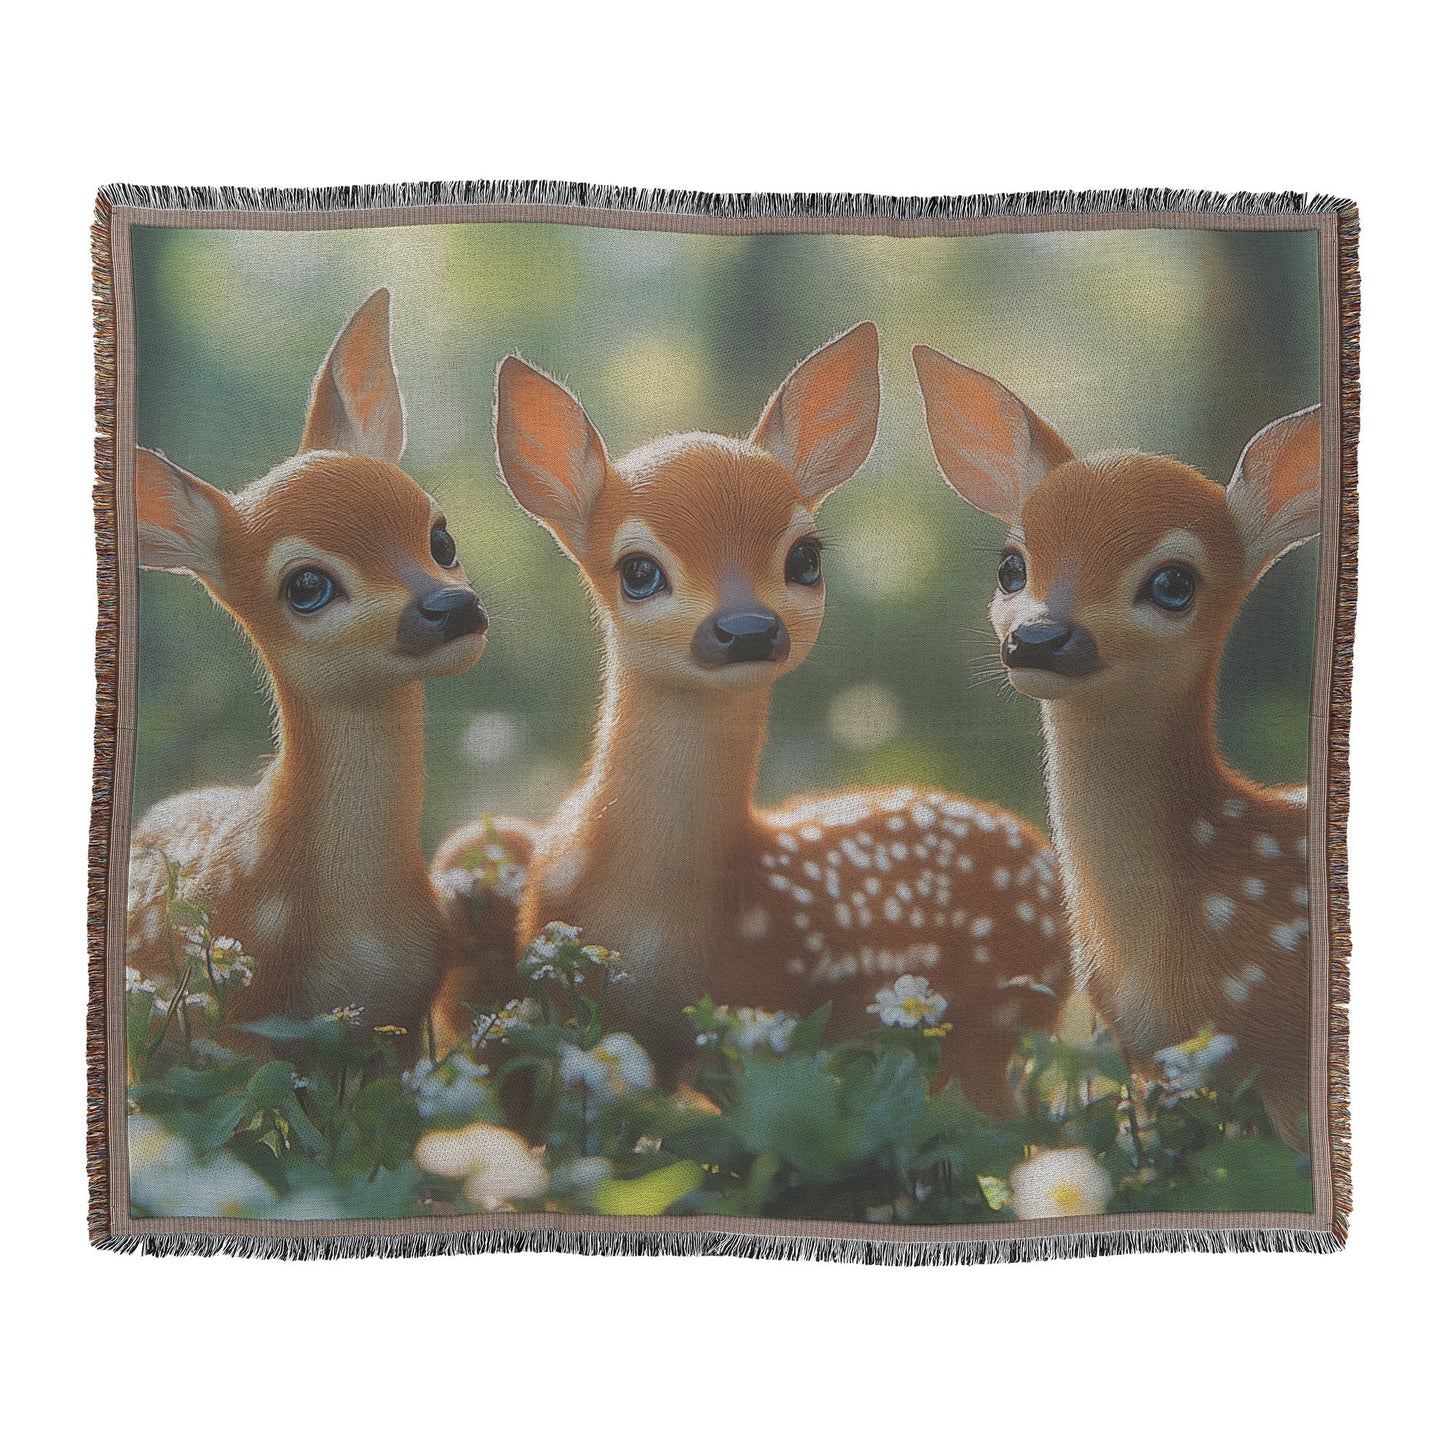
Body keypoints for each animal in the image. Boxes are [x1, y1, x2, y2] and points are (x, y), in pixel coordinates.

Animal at [432, 323, 1070, 1113]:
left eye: (804, 558)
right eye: (637, 570)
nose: (747, 628)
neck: (663, 917)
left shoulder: (755, 1013)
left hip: (986, 1028)